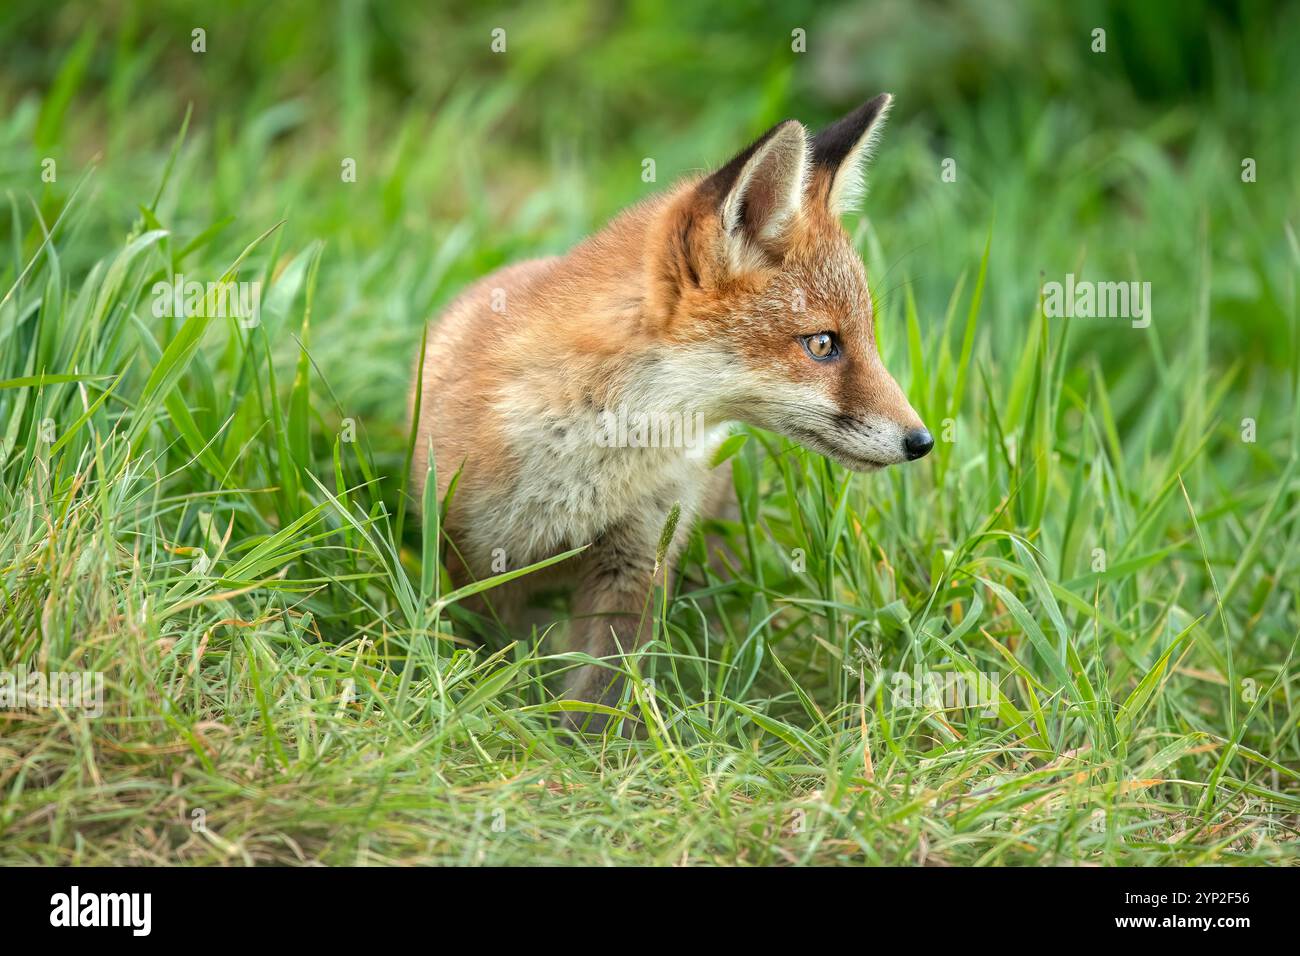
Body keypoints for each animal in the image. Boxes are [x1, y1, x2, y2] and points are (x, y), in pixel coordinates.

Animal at [411, 94, 932, 726]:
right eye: (823, 344)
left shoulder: (638, 556)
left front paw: (585, 743)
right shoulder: (479, 555)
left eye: (867, 339)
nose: (922, 441)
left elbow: (605, 688)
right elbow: (494, 656)